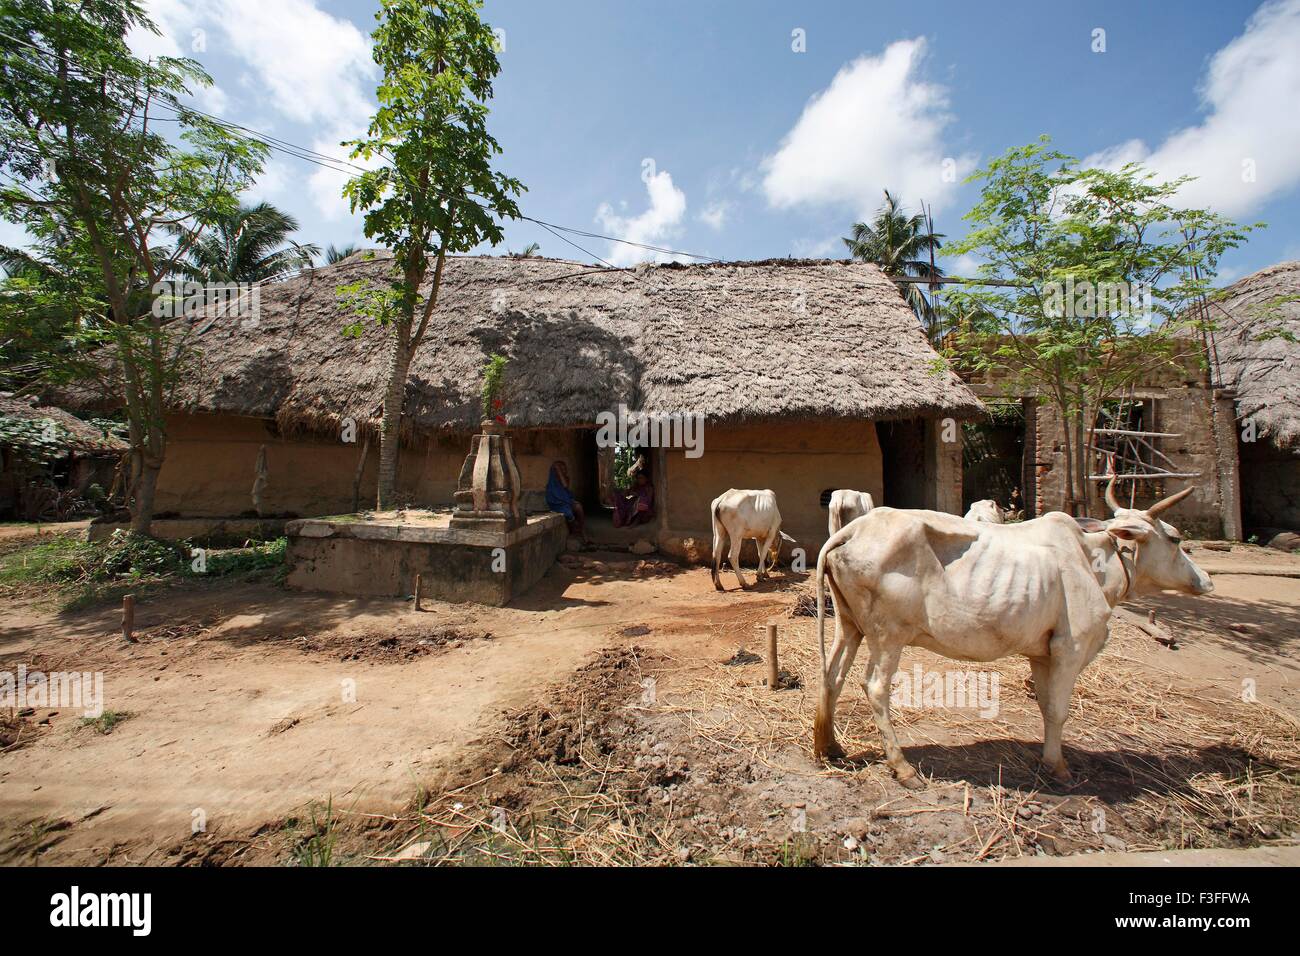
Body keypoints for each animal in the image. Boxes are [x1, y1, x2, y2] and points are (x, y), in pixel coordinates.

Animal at [813, 479, 1212, 788]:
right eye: (1175, 539)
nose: (1206, 580)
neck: (1093, 562)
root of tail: (853, 529)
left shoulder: (1042, 652)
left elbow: (1047, 706)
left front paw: (1049, 759)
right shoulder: (1071, 647)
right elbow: (1059, 711)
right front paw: (1059, 768)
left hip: (849, 625)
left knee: (832, 676)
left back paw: (829, 747)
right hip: (888, 636)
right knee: (875, 687)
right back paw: (903, 768)